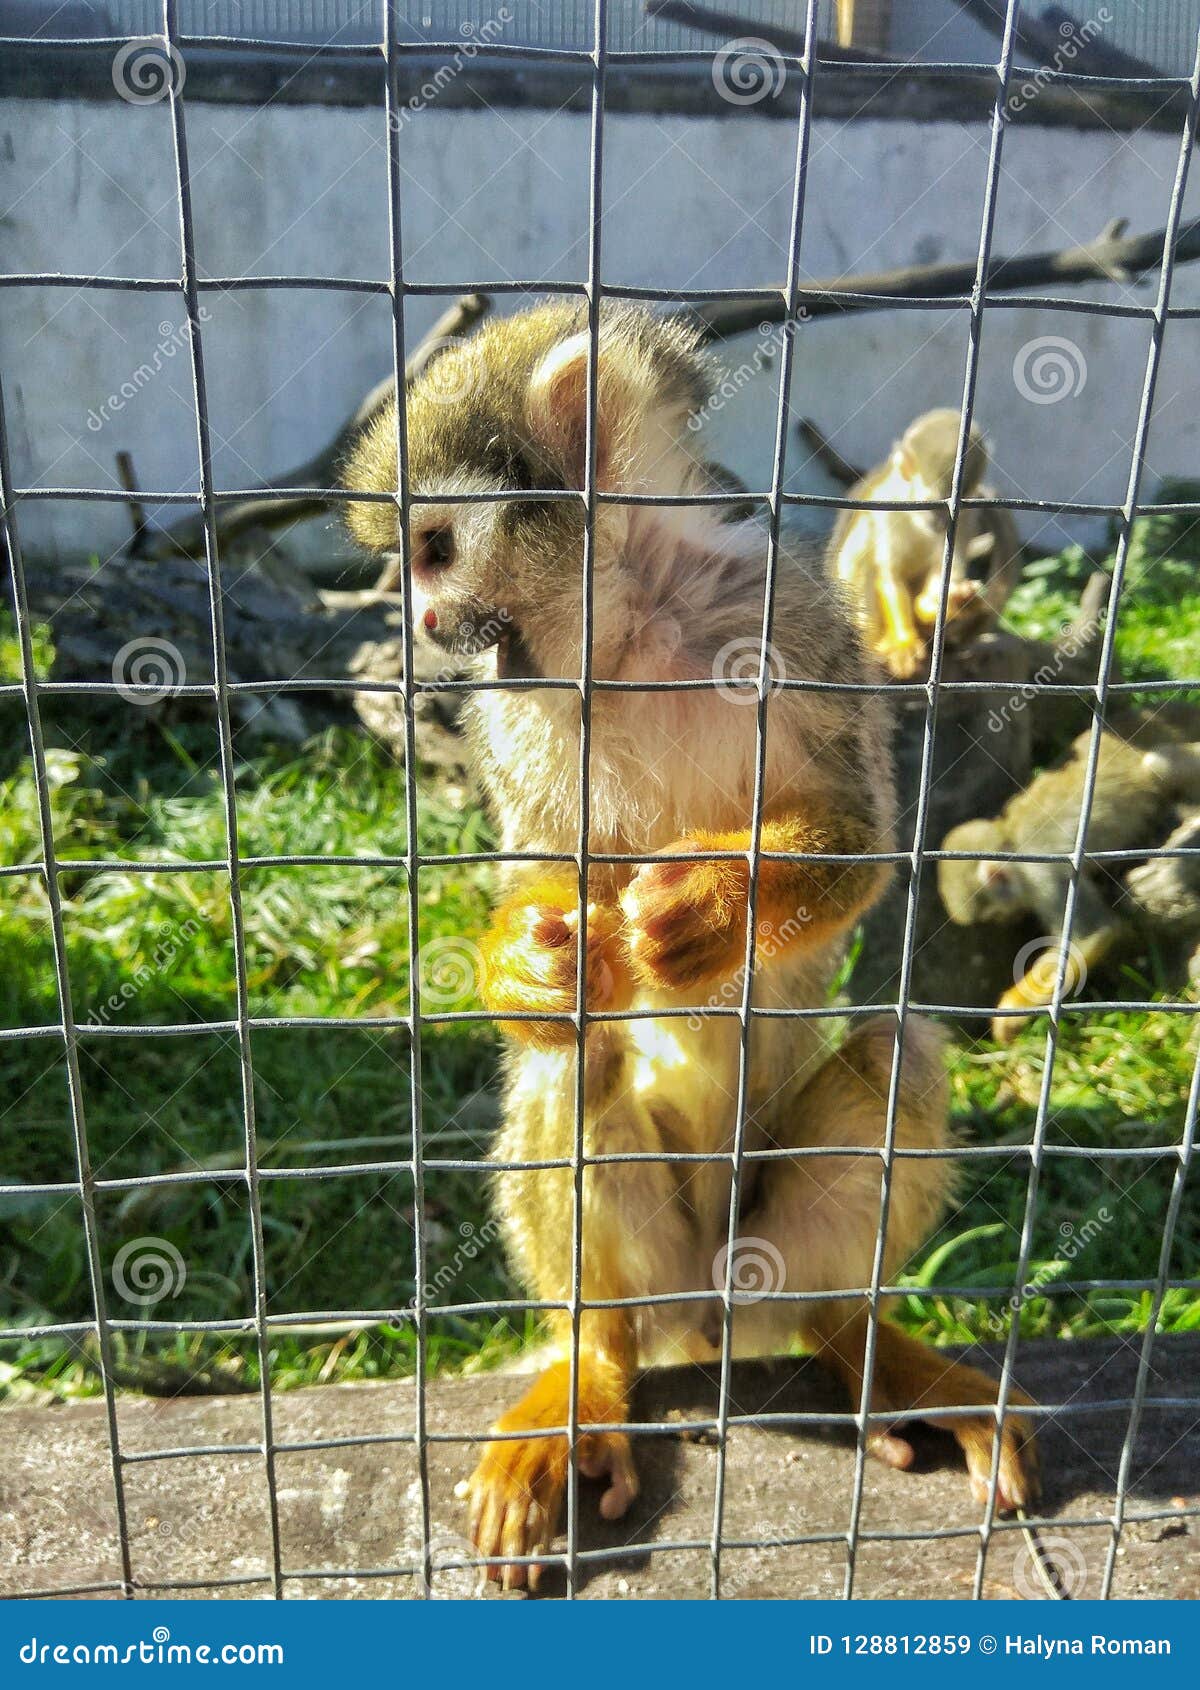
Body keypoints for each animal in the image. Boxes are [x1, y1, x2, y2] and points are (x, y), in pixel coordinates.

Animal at [827, 408, 1021, 680]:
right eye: (932, 504)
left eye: (951, 508)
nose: (939, 523)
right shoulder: (887, 504)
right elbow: (890, 575)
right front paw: (903, 643)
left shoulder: (966, 516)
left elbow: (943, 571)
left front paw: (946, 601)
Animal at [938, 725, 1200, 1042]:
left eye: (995, 913)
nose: (1009, 917)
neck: (1011, 840)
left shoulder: (1044, 874)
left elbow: (1089, 935)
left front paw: (1010, 1013)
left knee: (1155, 765)